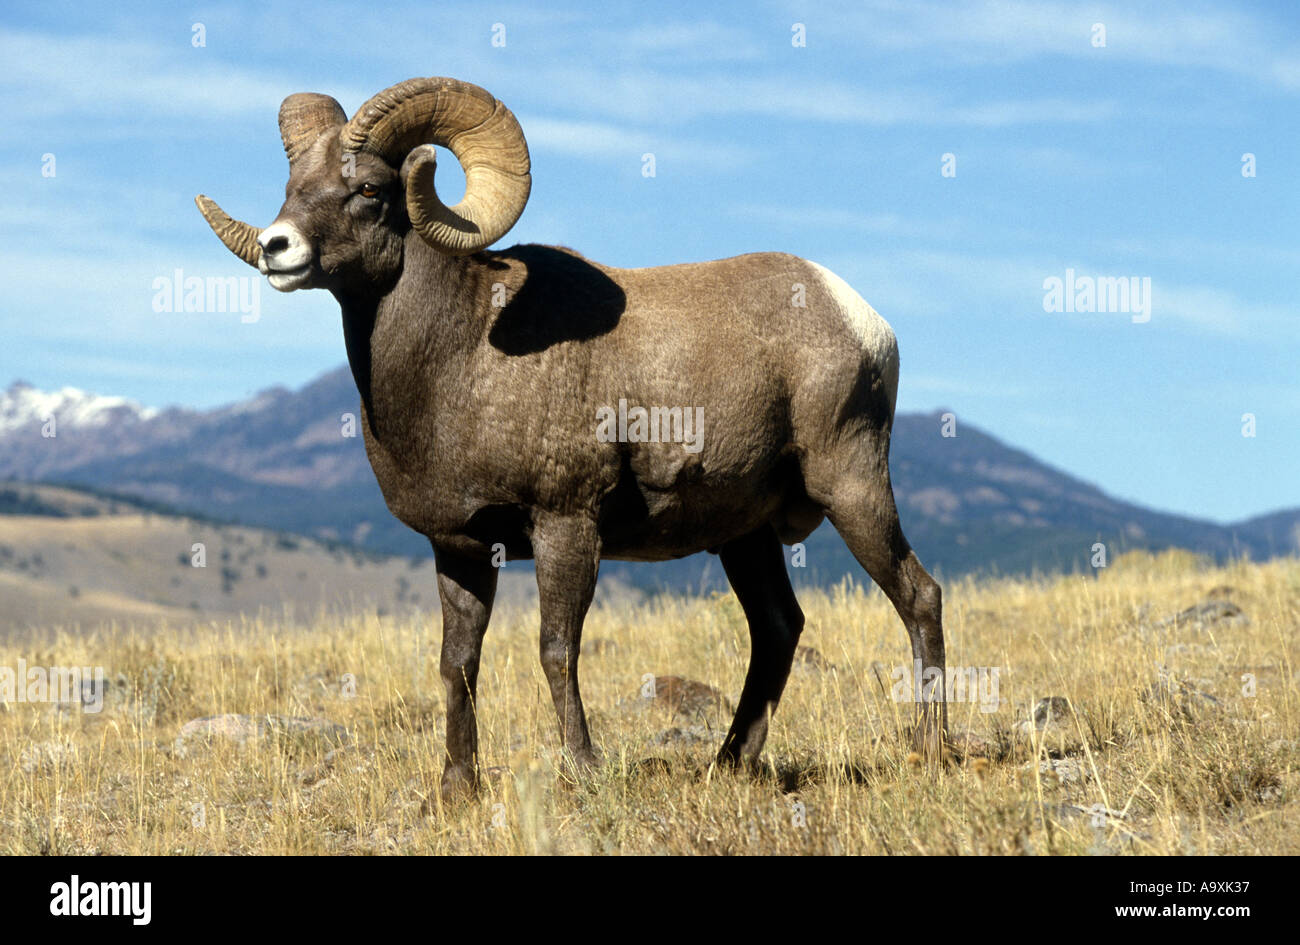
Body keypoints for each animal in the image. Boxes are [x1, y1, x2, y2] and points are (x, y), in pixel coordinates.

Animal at [196, 77, 947, 798]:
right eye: (293, 187)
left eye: (370, 190)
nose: (277, 249)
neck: (460, 358)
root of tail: (863, 321)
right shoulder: (460, 548)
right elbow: (457, 663)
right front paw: (455, 789)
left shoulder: (565, 523)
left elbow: (557, 648)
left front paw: (583, 771)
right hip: (746, 535)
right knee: (777, 628)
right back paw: (729, 763)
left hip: (850, 486)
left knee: (919, 595)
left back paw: (927, 750)